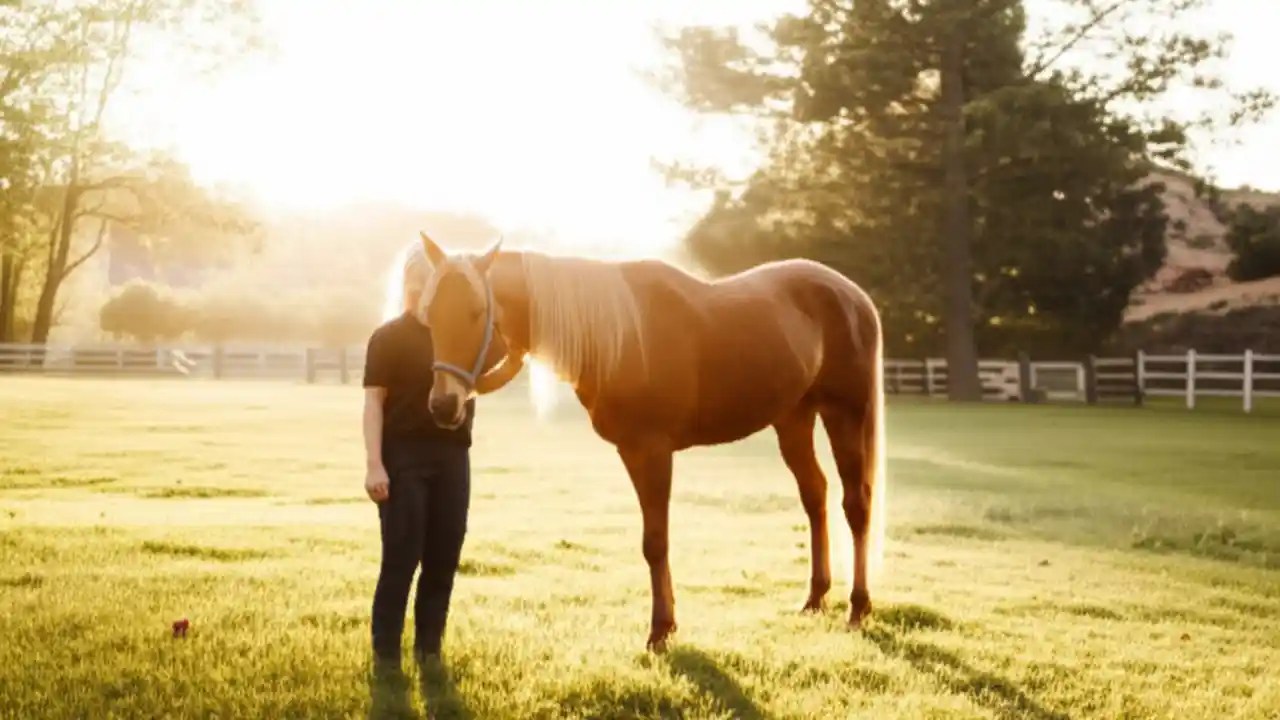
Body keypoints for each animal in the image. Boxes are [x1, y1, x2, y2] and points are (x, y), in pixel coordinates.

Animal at [412, 232, 887, 652]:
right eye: (430, 314)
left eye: (477, 311)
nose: (443, 406)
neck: (620, 334)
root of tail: (853, 296)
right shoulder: (632, 452)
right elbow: (651, 542)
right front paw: (667, 624)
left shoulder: (654, 451)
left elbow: (656, 541)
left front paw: (660, 631)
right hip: (793, 419)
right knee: (815, 494)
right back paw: (815, 597)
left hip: (844, 413)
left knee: (855, 503)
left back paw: (857, 607)